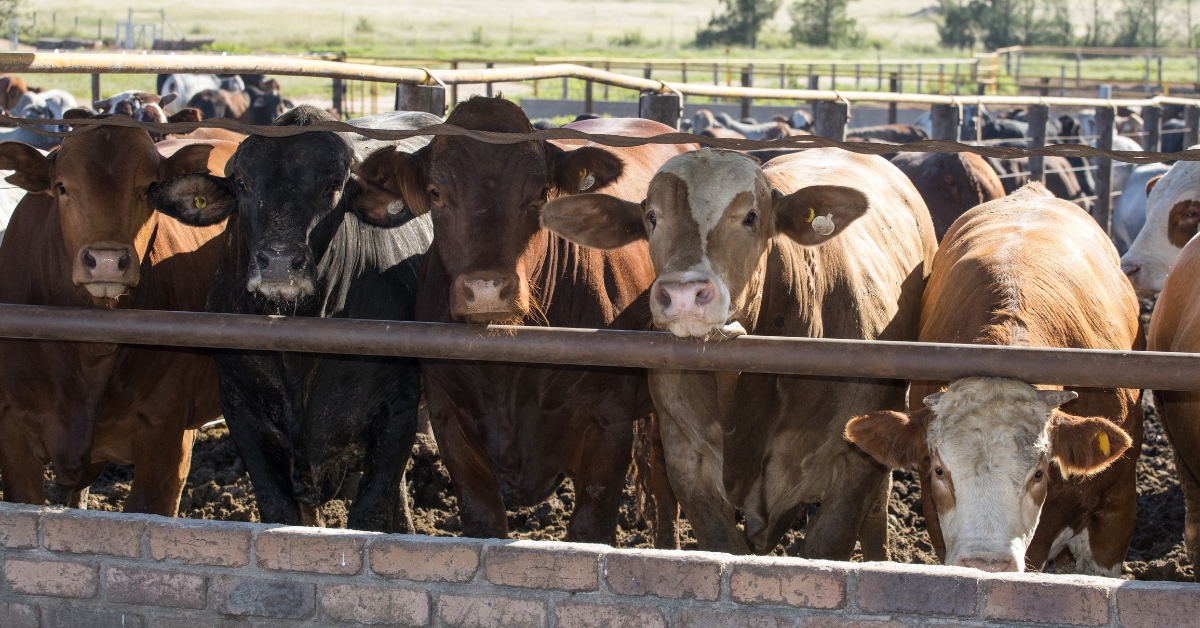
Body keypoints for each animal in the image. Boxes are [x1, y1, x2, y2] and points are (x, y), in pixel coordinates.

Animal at [147, 106, 437, 532]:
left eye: (334, 184)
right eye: (242, 182)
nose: (280, 262)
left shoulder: (397, 409)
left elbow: (372, 509)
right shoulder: (242, 413)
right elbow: (279, 510)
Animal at [352, 96, 693, 544]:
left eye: (541, 194)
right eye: (436, 193)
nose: (485, 288)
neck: (508, 374)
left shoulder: (609, 425)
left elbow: (590, 527)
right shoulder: (448, 421)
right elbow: (482, 522)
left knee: (663, 477)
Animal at [540, 147, 936, 557]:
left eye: (750, 217)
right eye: (652, 217)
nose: (684, 294)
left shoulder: (853, 468)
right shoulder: (686, 456)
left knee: (877, 513)